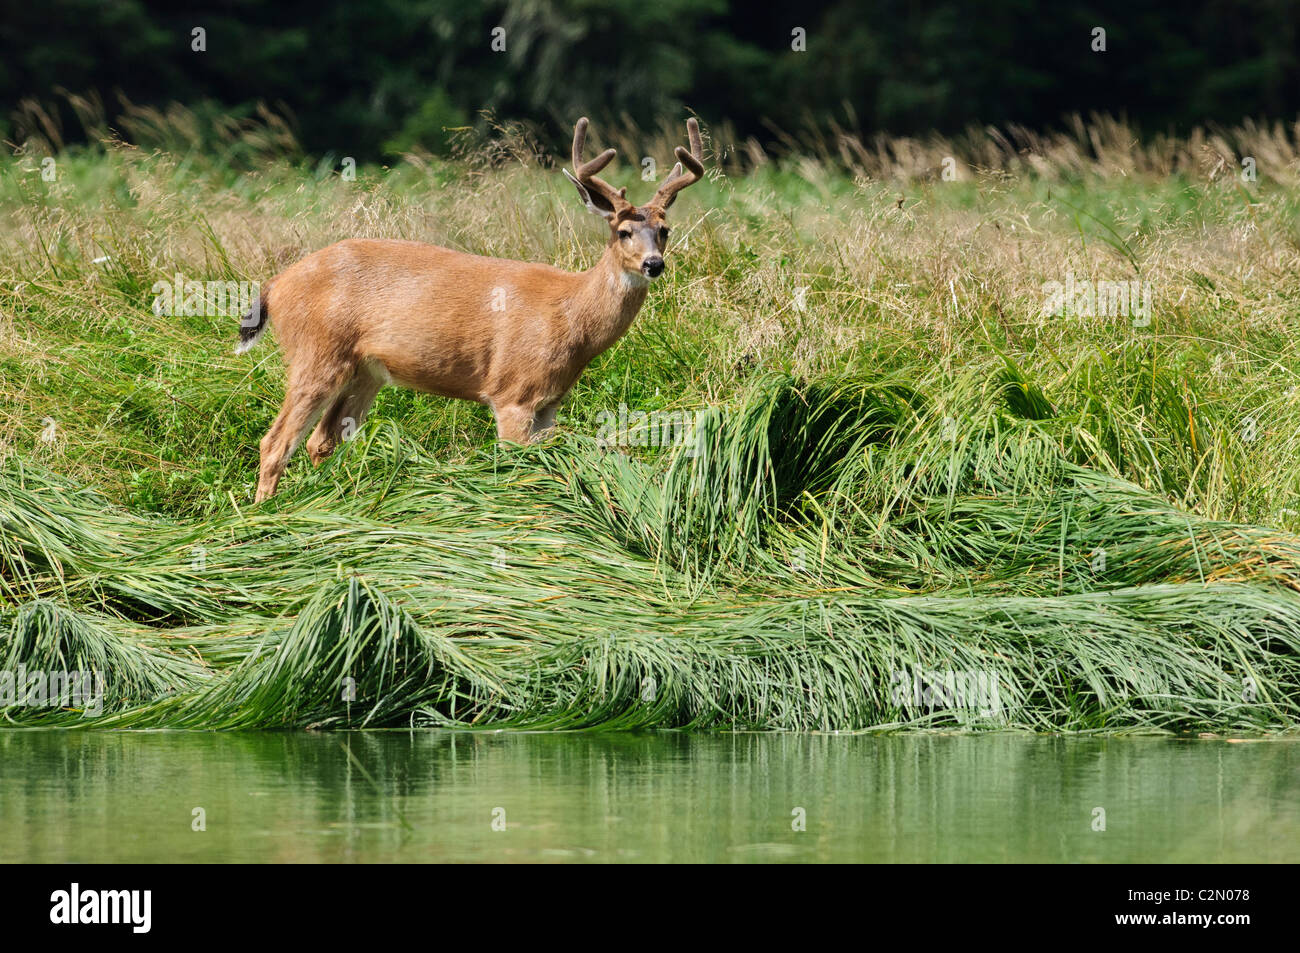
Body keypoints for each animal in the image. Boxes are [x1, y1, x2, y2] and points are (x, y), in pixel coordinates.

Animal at [235, 117, 705, 502]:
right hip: (314, 354)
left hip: (365, 371)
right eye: (624, 231)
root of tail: (275, 284)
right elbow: (515, 465)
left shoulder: (549, 403)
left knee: (321, 441)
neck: (572, 319)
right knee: (274, 443)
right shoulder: (513, 393)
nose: (654, 264)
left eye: (664, 229)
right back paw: (265, 516)